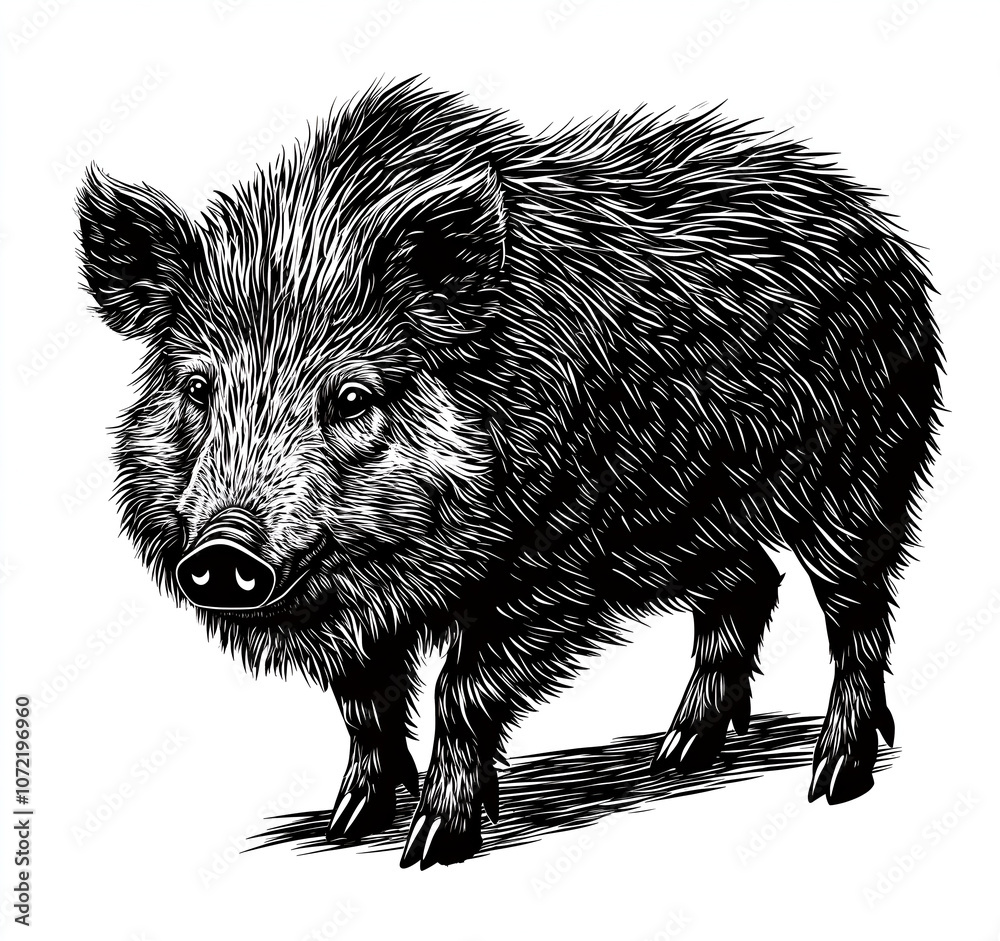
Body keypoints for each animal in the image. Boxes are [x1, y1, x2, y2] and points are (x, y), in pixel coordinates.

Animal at [77, 78, 942, 868]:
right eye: (198, 387)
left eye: (352, 395)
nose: (223, 552)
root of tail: (876, 225)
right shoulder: (357, 615)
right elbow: (366, 705)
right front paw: (347, 825)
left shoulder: (552, 564)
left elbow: (461, 691)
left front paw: (431, 846)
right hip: (681, 524)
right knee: (750, 580)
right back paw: (679, 754)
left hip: (856, 473)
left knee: (856, 607)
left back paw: (835, 777)